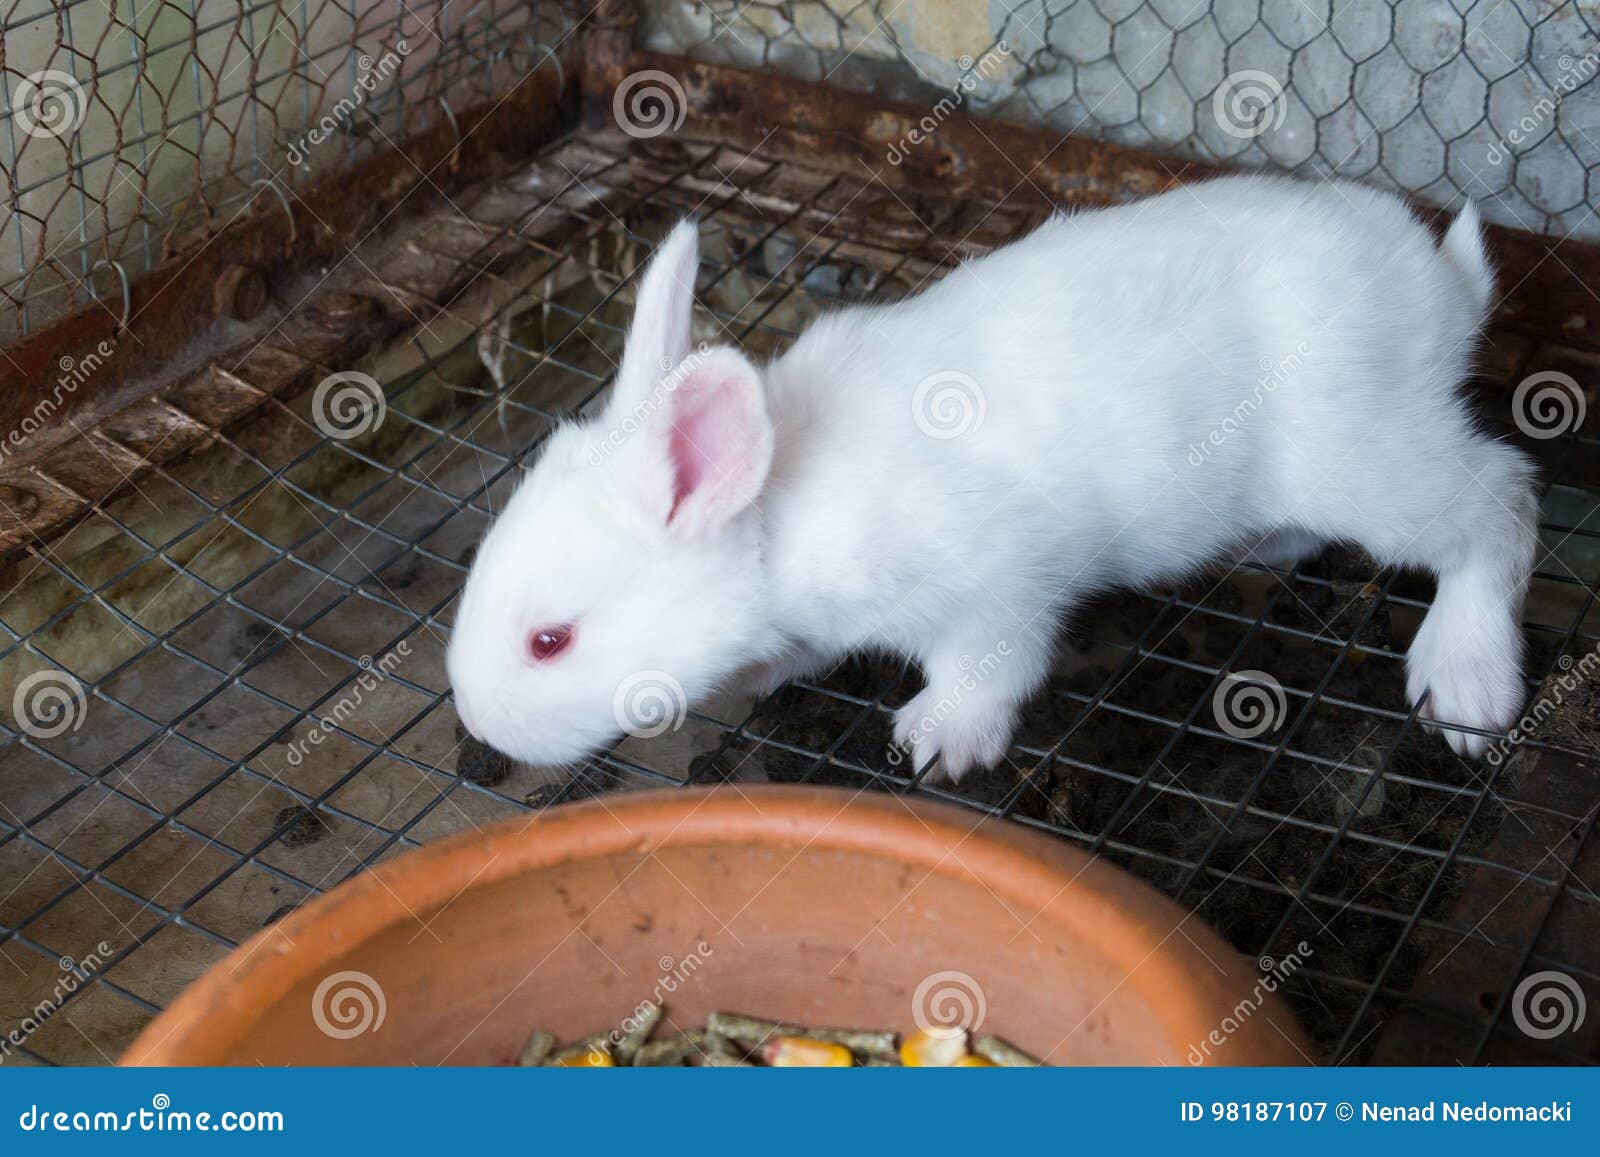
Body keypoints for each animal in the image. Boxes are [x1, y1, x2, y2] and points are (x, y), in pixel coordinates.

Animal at [448, 173, 1538, 781]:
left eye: (550, 641)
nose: (479, 725)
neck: (782, 504)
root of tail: (1439, 287)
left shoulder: (1001, 584)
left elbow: (991, 663)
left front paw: (939, 739)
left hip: (1367, 455)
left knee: (1500, 500)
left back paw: (1467, 681)